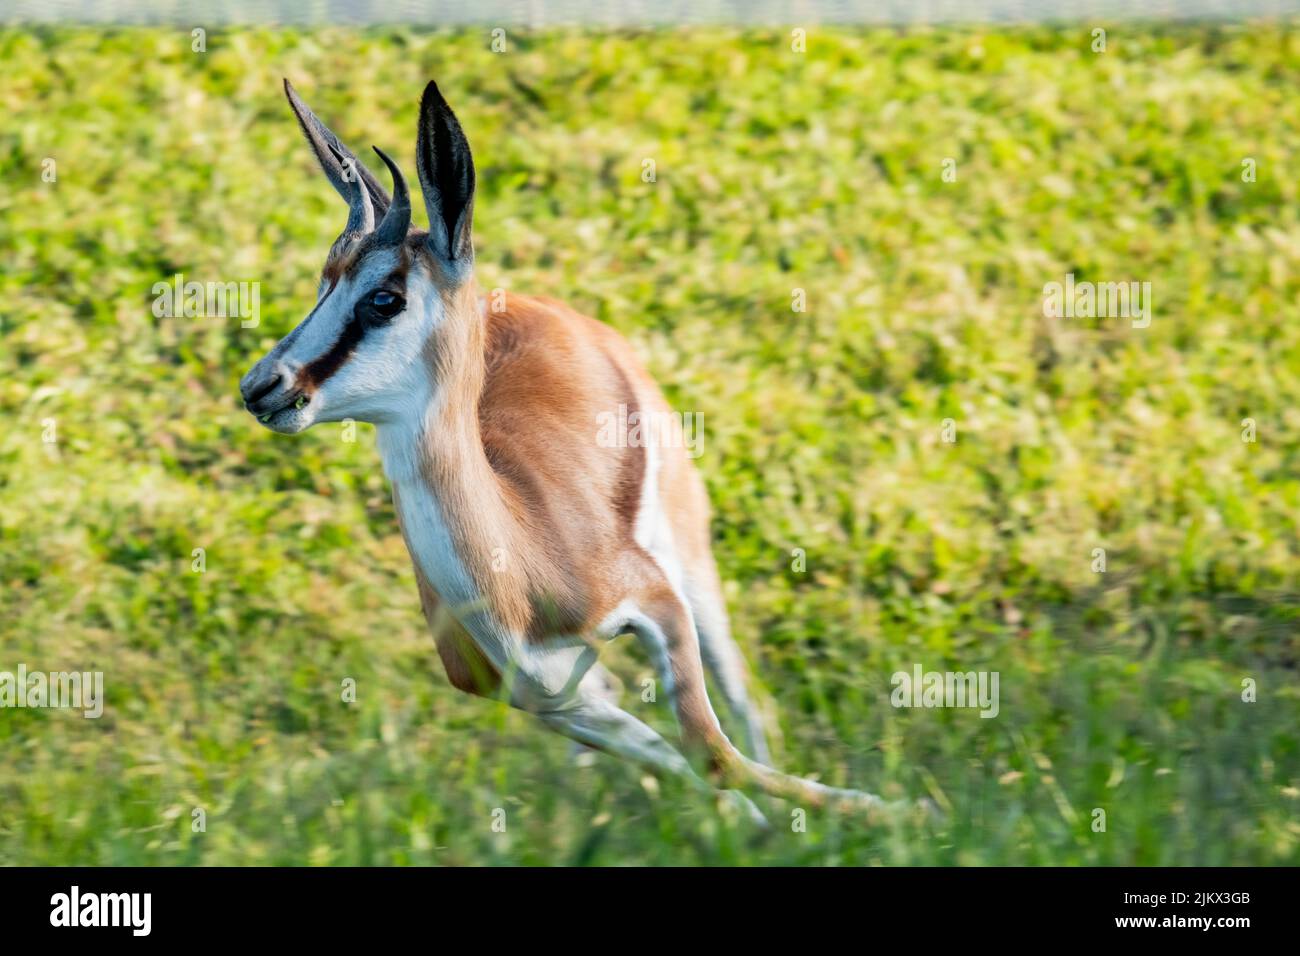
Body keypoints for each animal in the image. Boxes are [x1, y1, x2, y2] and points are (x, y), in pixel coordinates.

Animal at [240, 79, 899, 824]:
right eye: (324, 281)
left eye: (385, 298)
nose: (262, 386)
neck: (515, 576)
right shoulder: (555, 703)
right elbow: (691, 768)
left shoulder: (657, 602)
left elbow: (715, 757)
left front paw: (899, 811)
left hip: (692, 566)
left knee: (743, 694)